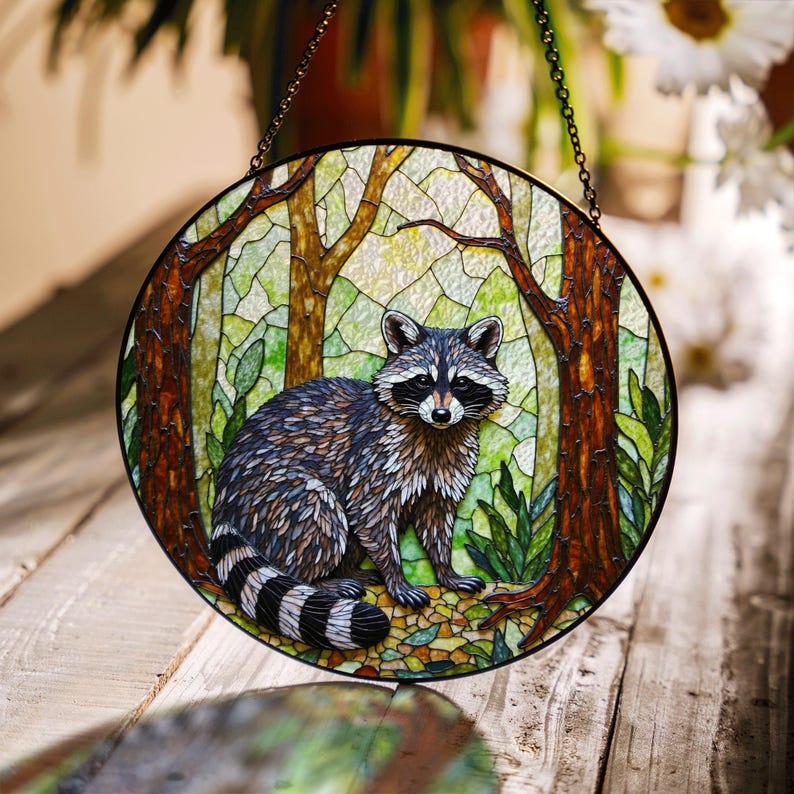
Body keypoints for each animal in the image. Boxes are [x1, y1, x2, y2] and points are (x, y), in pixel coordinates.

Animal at [210, 310, 508, 650]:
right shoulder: (375, 454)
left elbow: (436, 519)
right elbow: (371, 513)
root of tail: (223, 503)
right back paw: (319, 579)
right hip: (272, 495)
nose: (442, 414)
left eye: (462, 383)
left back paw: (352, 569)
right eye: (422, 381)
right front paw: (397, 577)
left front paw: (445, 570)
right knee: (320, 512)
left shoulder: (447, 467)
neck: (435, 433)